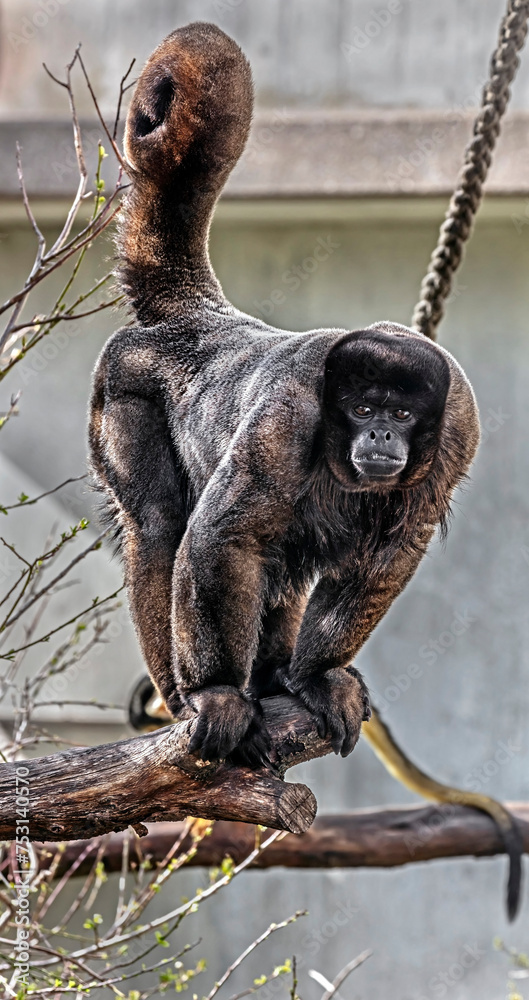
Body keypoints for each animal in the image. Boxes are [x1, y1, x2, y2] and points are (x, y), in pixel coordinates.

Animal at [88, 22, 522, 917]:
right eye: (360, 406)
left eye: (401, 413)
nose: (381, 434)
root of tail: (203, 318)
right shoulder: (286, 418)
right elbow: (219, 536)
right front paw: (220, 696)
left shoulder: (455, 430)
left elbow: (390, 553)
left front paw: (316, 677)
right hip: (123, 382)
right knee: (163, 526)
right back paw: (195, 696)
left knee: (282, 566)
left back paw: (279, 683)